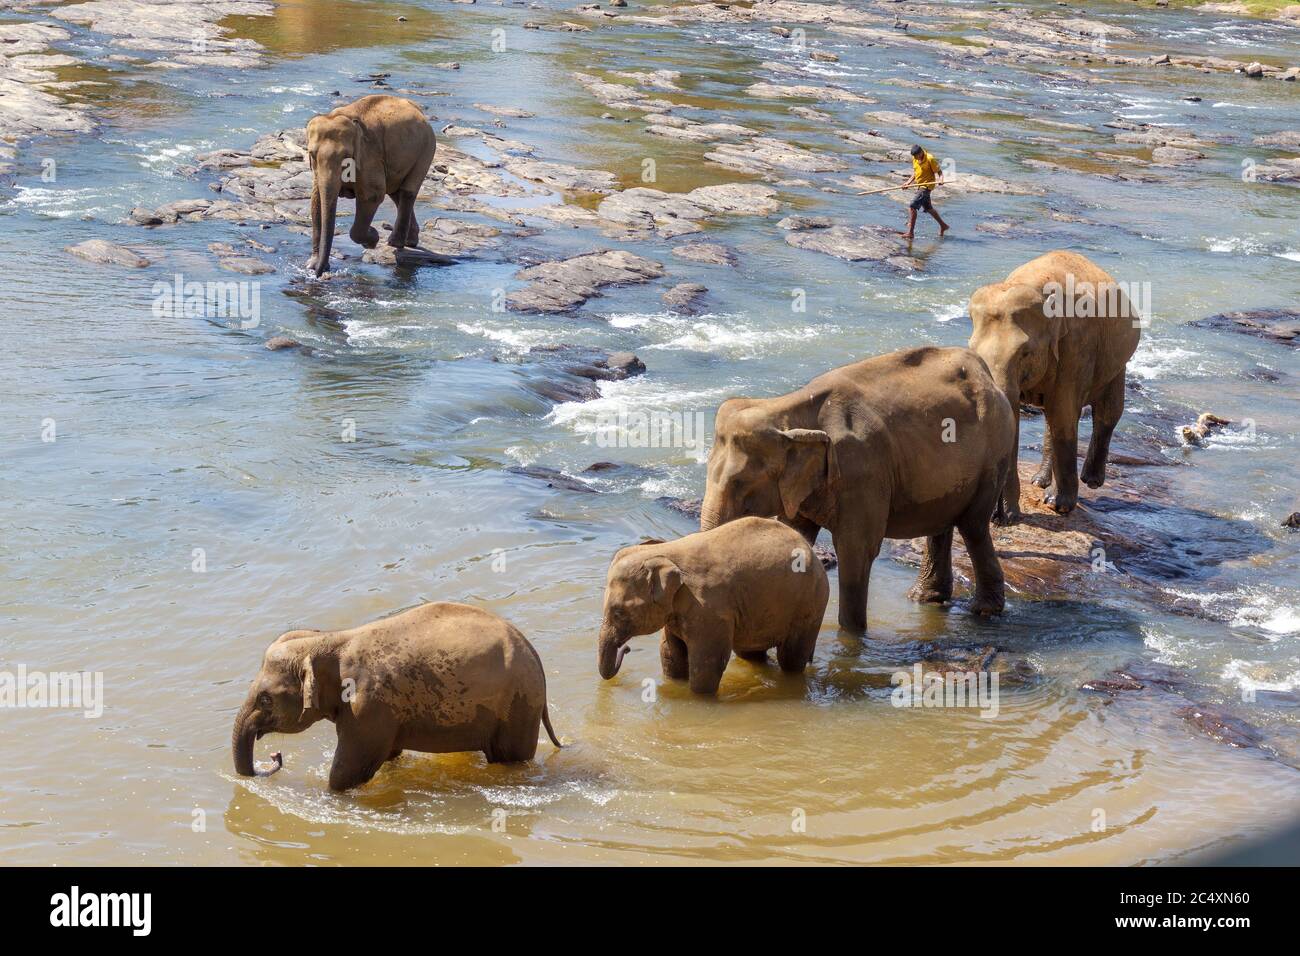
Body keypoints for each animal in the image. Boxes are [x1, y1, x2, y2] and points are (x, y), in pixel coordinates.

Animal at [232, 602, 561, 791]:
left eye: (265, 700)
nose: (275, 757)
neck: (329, 639)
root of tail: (534, 654)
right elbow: (389, 754)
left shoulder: (367, 707)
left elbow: (348, 771)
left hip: (519, 707)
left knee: (510, 759)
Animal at [305, 94, 436, 277]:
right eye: (312, 154)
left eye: (346, 156)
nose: (320, 273)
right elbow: (316, 200)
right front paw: (311, 265)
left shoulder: (369, 156)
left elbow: (372, 196)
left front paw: (372, 239)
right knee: (395, 193)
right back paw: (410, 241)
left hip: (426, 149)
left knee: (407, 192)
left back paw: (395, 243)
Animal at [597, 517, 829, 695]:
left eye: (619, 613)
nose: (626, 649)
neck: (666, 551)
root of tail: (811, 550)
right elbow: (671, 655)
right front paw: (675, 684)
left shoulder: (709, 611)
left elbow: (707, 663)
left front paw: (699, 698)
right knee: (751, 652)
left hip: (811, 603)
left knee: (791, 657)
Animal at [700, 346, 1015, 633]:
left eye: (740, 483)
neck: (788, 408)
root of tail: (984, 372)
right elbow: (795, 536)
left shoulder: (862, 472)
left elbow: (856, 548)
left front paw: (852, 635)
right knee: (942, 524)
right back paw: (924, 599)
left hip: (994, 455)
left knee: (973, 526)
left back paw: (984, 611)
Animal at [968, 250, 1142, 522]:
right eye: (973, 350)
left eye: (1025, 353)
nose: (998, 516)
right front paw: (1007, 515)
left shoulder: (1077, 346)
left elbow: (1063, 414)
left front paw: (1058, 505)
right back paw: (1039, 481)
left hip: (1117, 360)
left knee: (1107, 412)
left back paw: (1091, 481)